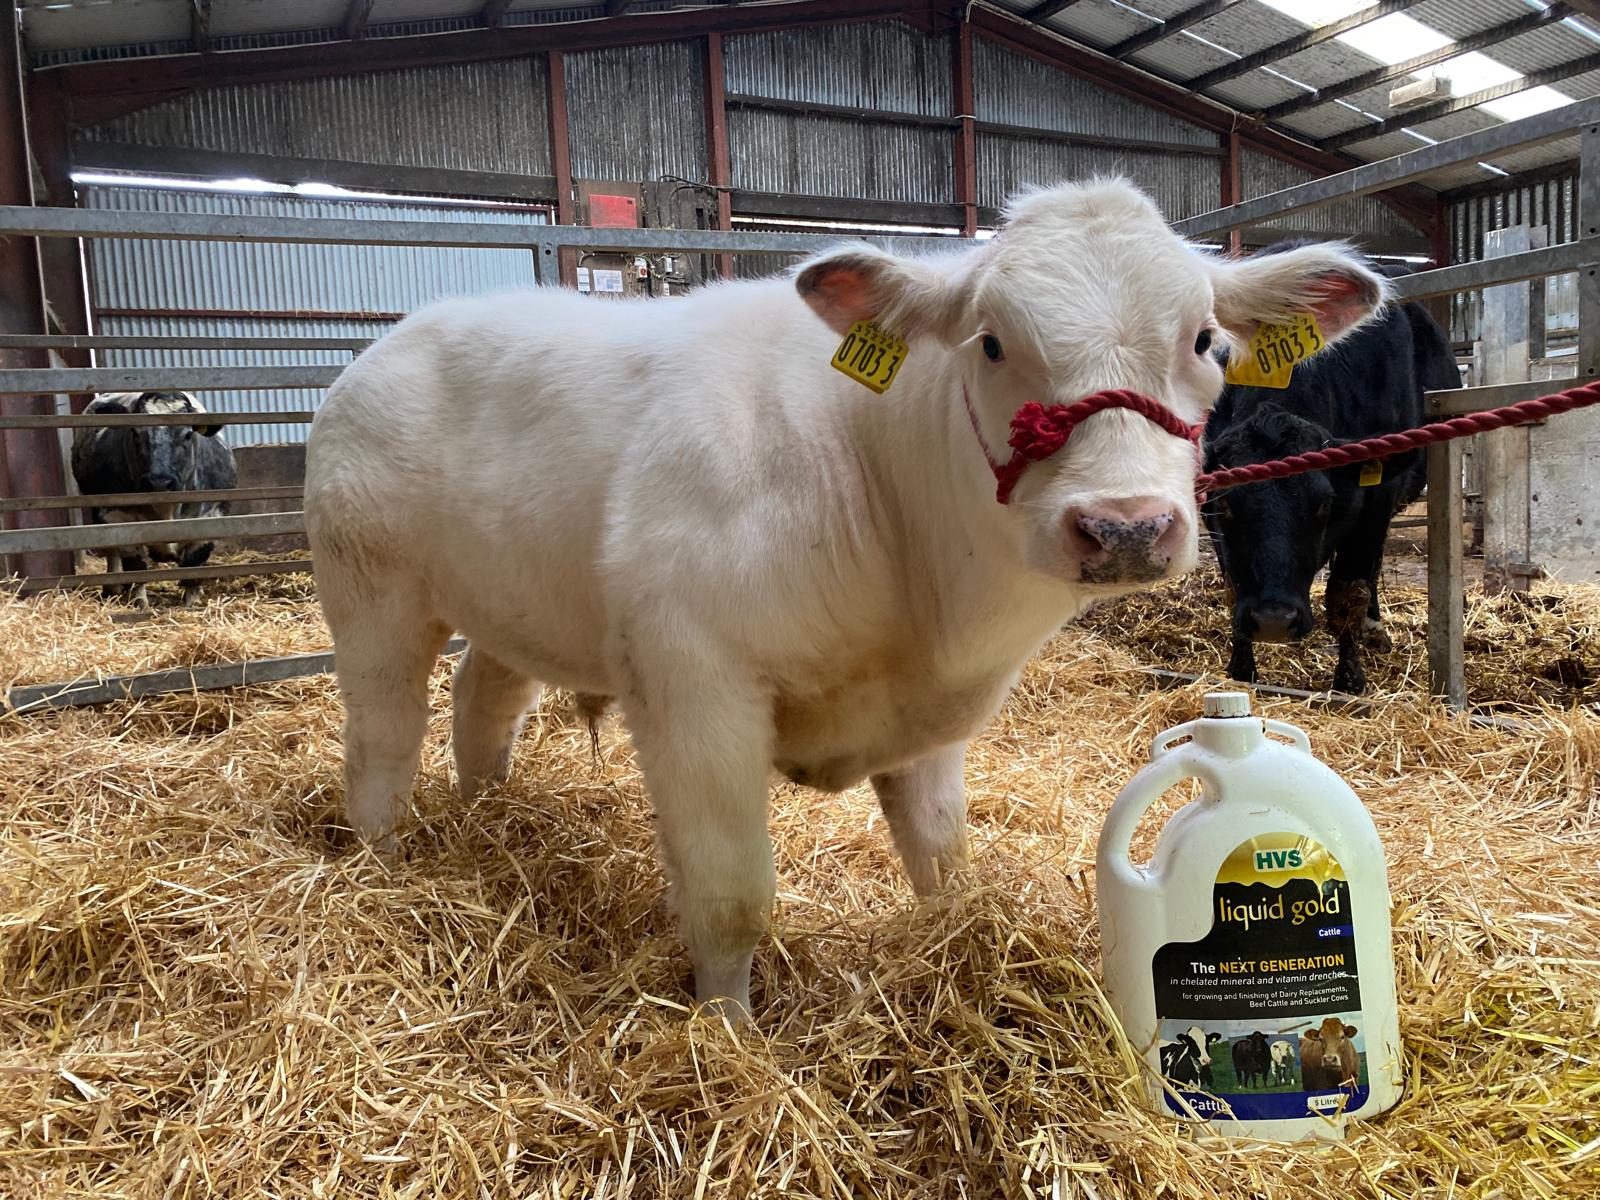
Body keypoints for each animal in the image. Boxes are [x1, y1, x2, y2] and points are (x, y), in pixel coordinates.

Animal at [71, 391, 236, 608]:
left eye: (188, 434)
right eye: (134, 432)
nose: (159, 482)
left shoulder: (210, 520)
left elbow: (192, 568)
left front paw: (191, 603)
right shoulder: (119, 519)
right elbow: (136, 568)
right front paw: (140, 603)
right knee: (112, 553)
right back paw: (111, 588)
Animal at [304, 178, 1385, 1018]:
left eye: (1206, 341)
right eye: (991, 343)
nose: (1123, 526)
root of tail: (399, 336)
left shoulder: (929, 721)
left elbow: (944, 861)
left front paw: (954, 949)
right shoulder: (693, 685)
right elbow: (731, 896)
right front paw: (729, 1043)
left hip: (513, 602)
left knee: (483, 701)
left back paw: (488, 819)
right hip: (372, 591)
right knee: (382, 738)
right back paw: (385, 866)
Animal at [1202, 250, 1460, 694]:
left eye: (1324, 502)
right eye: (1228, 504)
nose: (1273, 621)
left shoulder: (1375, 497)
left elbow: (1347, 593)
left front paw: (1349, 679)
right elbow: (1234, 584)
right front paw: (1242, 670)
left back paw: (1374, 628)